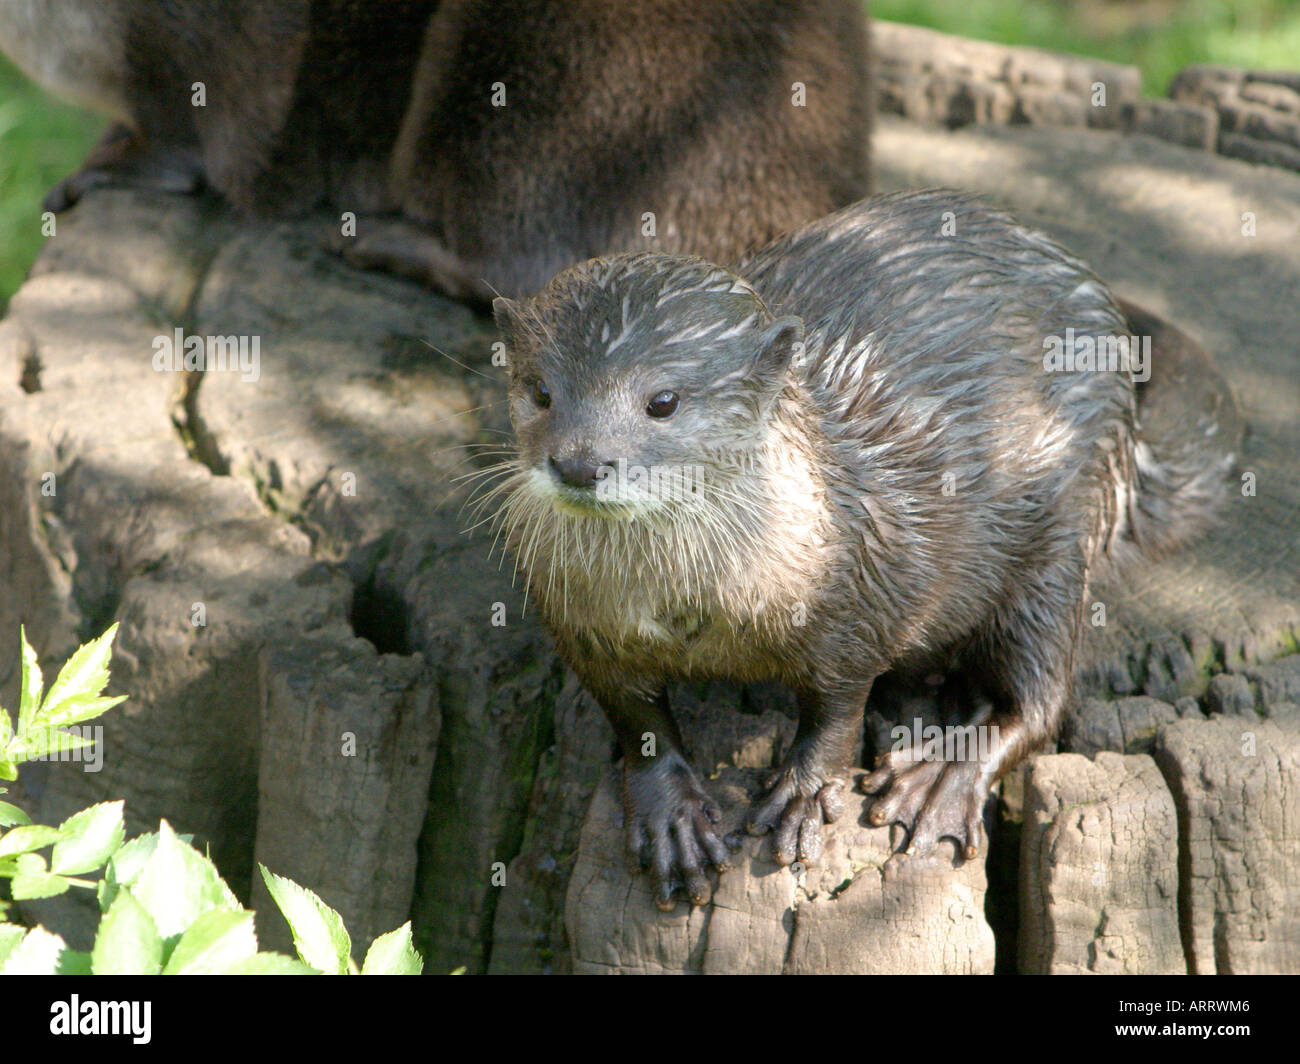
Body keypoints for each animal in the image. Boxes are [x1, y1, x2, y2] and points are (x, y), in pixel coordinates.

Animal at [487, 188, 1238, 911]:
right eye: (540, 390)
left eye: (663, 401)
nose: (580, 463)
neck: (691, 608)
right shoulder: (580, 627)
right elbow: (635, 719)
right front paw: (671, 816)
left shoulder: (866, 595)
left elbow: (841, 707)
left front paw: (801, 795)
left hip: (1058, 543)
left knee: (1041, 699)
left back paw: (938, 777)